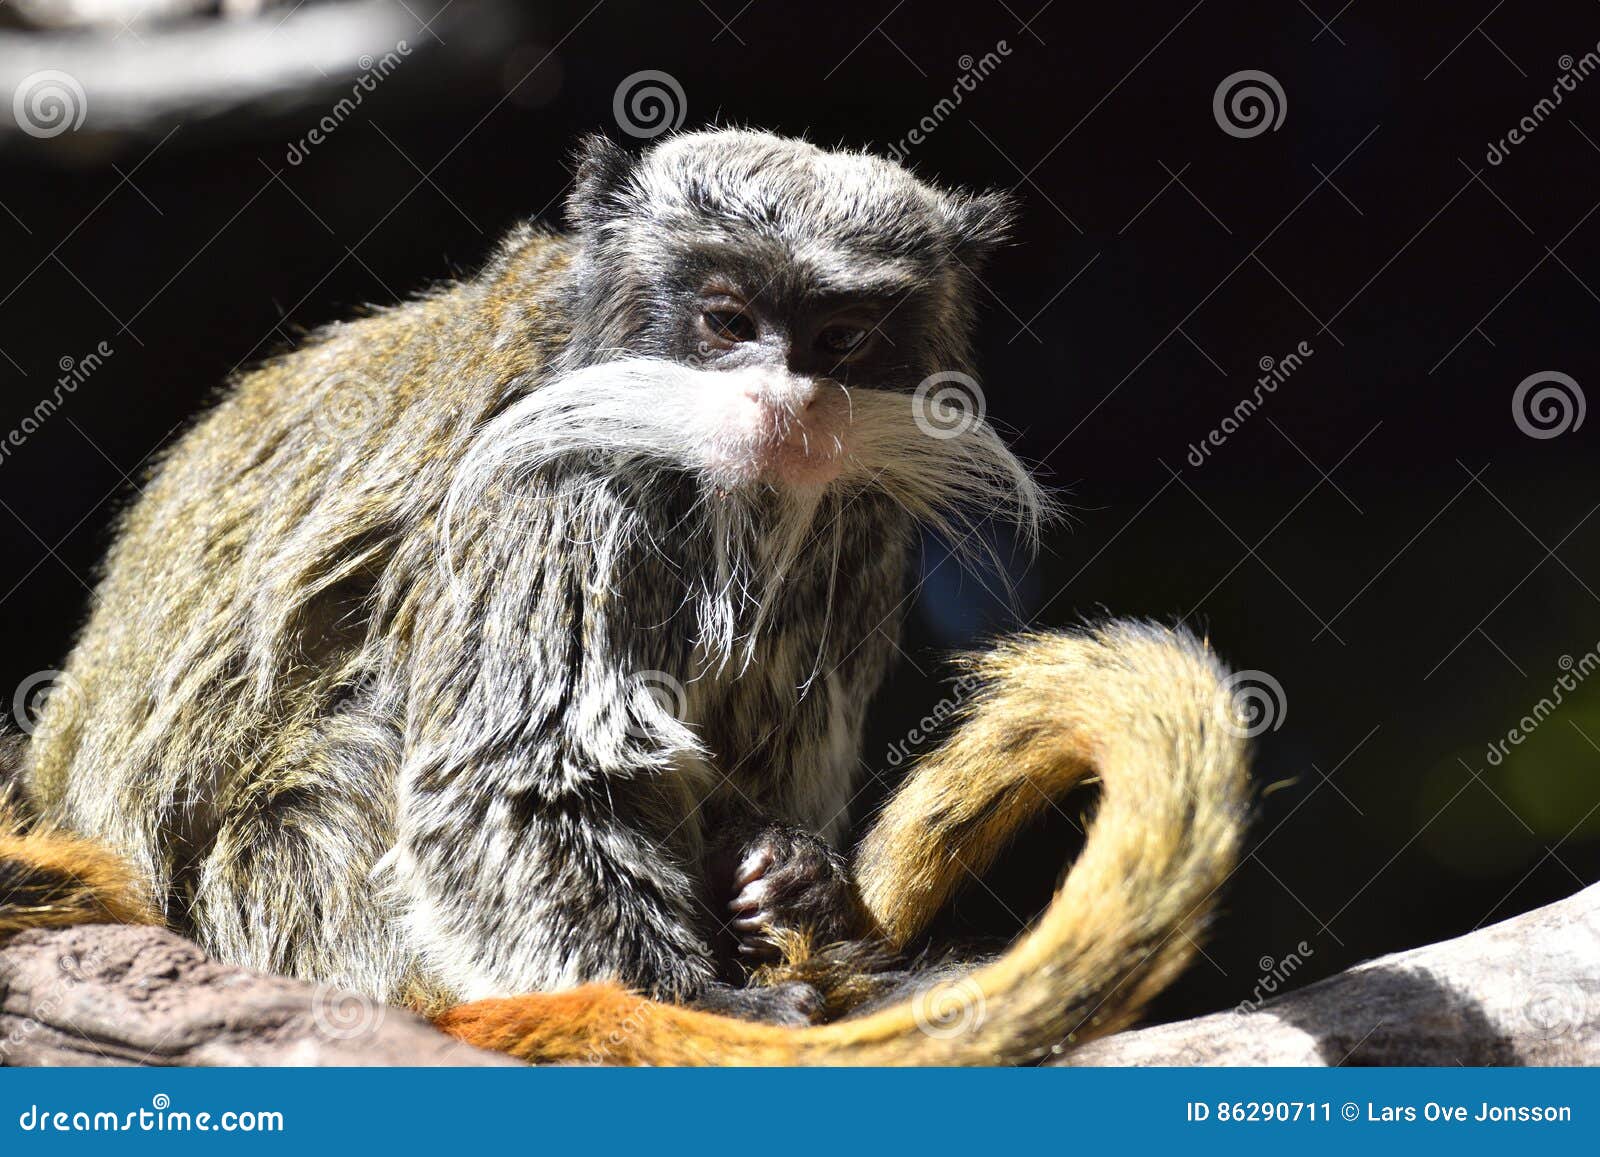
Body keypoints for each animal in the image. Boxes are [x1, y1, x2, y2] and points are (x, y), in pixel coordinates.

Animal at [0, 129, 1250, 1063]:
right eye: (727, 321)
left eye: (839, 338)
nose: (785, 397)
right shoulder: (558, 473)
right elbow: (518, 771)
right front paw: (709, 1000)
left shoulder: (862, 518)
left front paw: (792, 885)